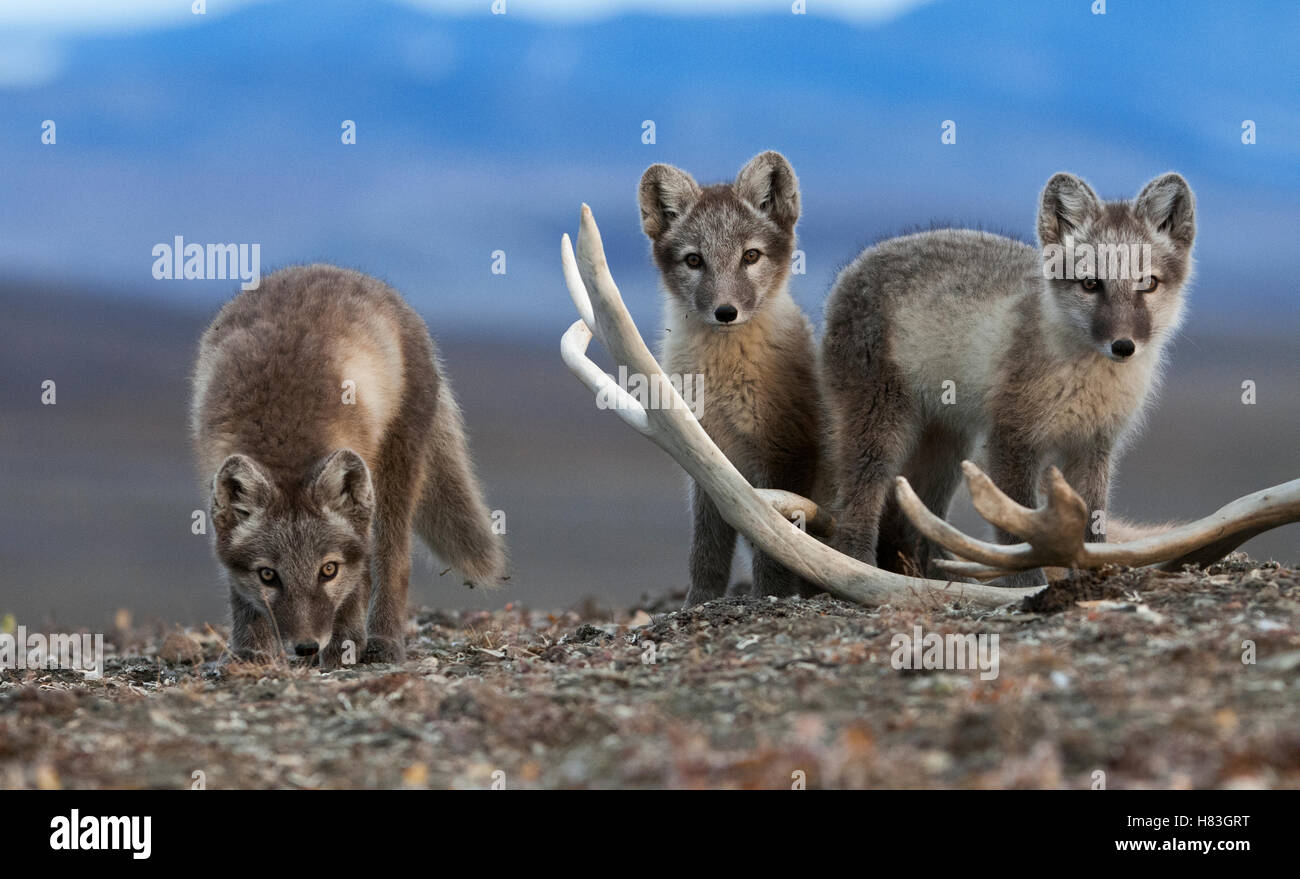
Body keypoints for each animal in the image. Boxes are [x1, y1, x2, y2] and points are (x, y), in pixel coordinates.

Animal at [191, 264, 507, 666]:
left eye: (328, 570)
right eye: (267, 575)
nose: (306, 647)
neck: (285, 446)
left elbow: (357, 583)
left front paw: (343, 645)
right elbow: (240, 594)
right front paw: (251, 654)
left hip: (394, 470)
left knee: (389, 563)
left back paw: (382, 641)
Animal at [638, 151, 822, 605]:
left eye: (750, 256)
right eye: (694, 260)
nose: (725, 312)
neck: (722, 382)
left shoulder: (785, 453)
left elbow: (778, 547)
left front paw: (771, 596)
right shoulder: (708, 458)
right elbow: (707, 549)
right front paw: (699, 602)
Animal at [821, 172, 1196, 587]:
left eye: (1148, 283)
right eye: (1090, 284)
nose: (1123, 346)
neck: (1085, 377)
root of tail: (855, 264)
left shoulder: (1093, 445)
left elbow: (1092, 527)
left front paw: (1089, 577)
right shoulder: (1010, 440)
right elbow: (1018, 534)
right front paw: (1029, 588)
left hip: (948, 444)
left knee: (918, 520)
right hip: (881, 427)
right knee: (857, 502)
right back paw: (858, 563)